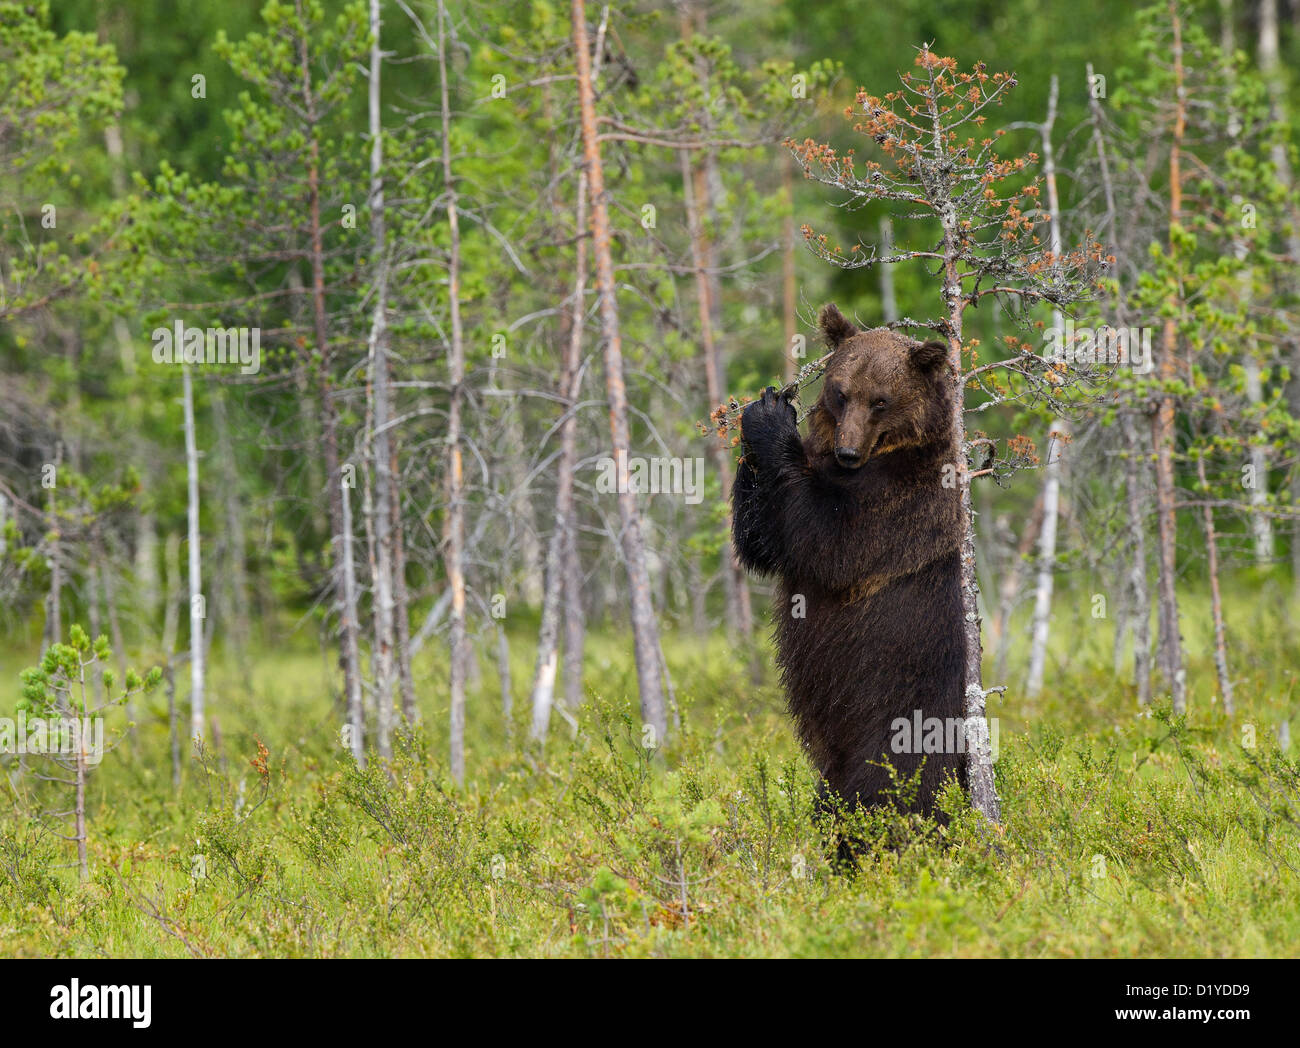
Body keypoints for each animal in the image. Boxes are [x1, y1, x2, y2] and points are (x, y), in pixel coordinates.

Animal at [732, 303, 968, 823]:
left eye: (881, 400)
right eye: (841, 392)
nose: (848, 451)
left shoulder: (900, 503)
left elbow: (826, 538)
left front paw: (772, 422)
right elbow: (758, 541)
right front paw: (762, 408)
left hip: (898, 719)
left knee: (885, 788)